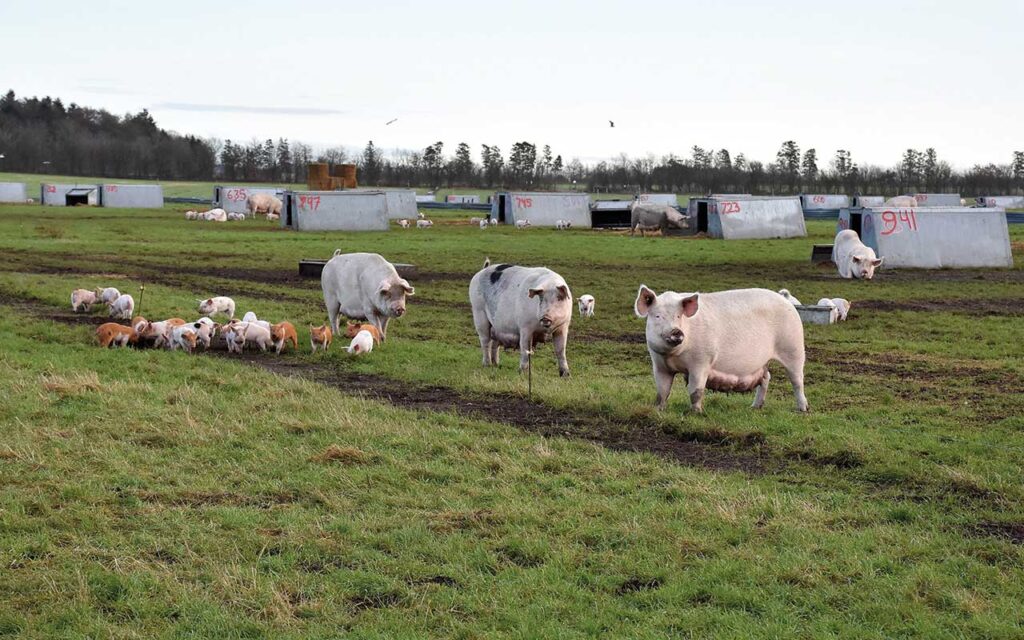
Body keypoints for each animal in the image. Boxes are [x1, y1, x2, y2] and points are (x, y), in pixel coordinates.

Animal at [634, 286, 808, 413]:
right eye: (657, 316)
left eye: (678, 316)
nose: (676, 331)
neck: (673, 356)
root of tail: (784, 299)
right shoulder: (659, 365)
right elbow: (662, 390)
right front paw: (659, 410)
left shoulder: (701, 362)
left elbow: (696, 390)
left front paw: (695, 413)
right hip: (764, 361)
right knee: (766, 377)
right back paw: (754, 407)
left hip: (794, 348)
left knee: (797, 380)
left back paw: (803, 409)